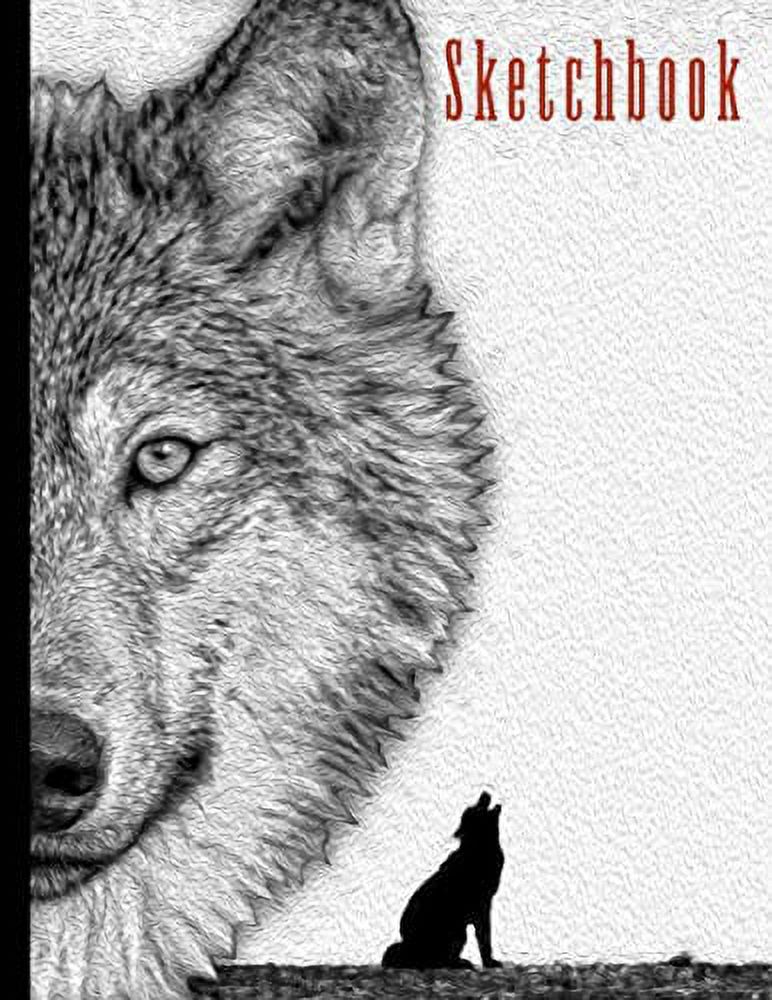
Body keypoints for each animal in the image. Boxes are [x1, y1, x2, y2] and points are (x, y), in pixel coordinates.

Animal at [381, 792, 505, 969]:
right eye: (476, 806)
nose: (484, 792)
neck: (480, 847)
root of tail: (409, 947)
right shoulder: (482, 906)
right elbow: (484, 939)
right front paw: (489, 962)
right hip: (457, 931)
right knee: (440, 960)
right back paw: (461, 963)